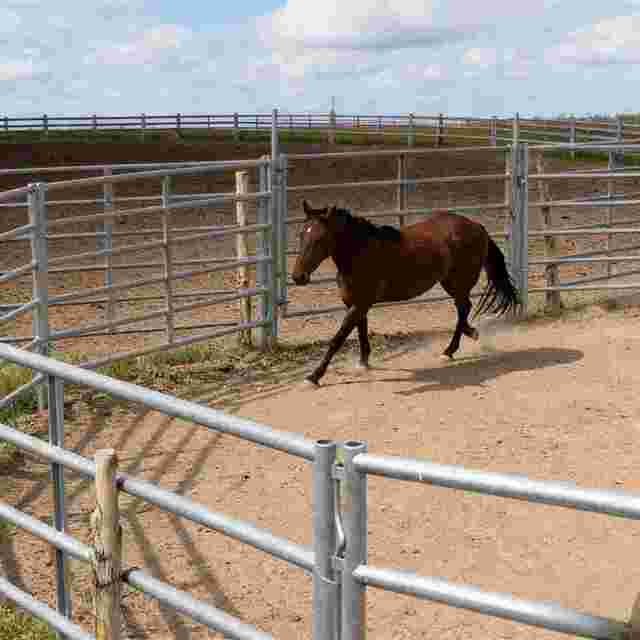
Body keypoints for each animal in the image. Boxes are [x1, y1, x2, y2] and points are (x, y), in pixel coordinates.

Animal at [292, 201, 520, 386]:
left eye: (320, 238)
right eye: (301, 234)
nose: (298, 277)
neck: (361, 253)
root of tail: (477, 226)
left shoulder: (361, 304)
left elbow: (337, 339)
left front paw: (314, 377)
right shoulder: (355, 304)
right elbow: (360, 330)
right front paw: (364, 362)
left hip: (458, 282)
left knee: (463, 308)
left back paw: (452, 348)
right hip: (450, 282)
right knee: (463, 309)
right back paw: (464, 339)